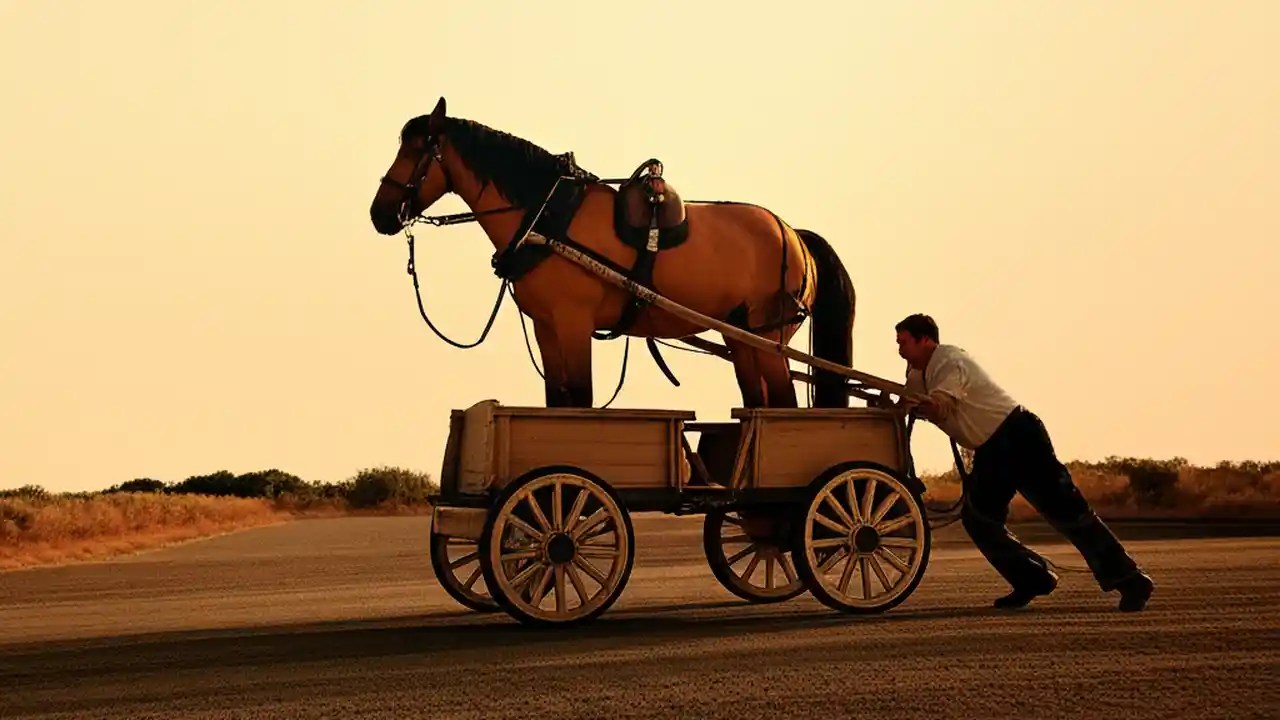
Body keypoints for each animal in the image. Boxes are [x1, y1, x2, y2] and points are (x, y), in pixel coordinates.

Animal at [369, 97, 857, 410]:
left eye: (417, 150)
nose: (380, 213)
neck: (547, 216)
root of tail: (792, 234)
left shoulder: (573, 323)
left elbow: (581, 401)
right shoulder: (547, 327)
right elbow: (559, 403)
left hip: (771, 337)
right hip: (741, 338)